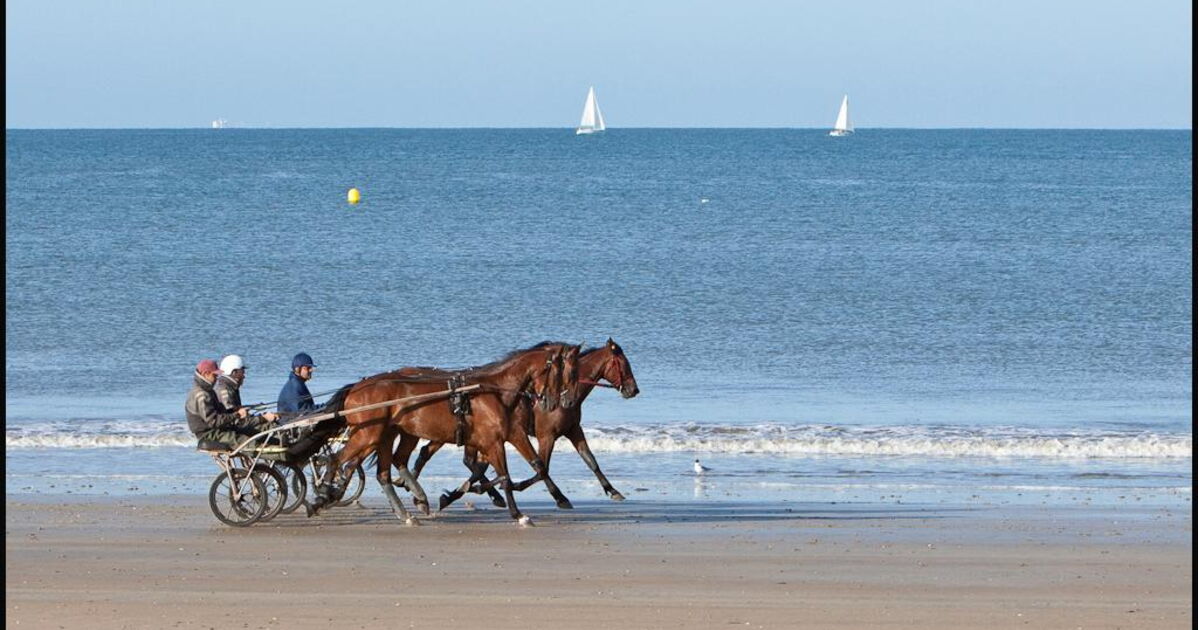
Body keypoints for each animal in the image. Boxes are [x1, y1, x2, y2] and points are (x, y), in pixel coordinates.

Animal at [307, 342, 580, 525]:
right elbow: (502, 475)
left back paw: (407, 508)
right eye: (562, 372)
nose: (555, 403)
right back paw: (323, 495)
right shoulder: (492, 441)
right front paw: (517, 512)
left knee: (386, 469)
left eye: (572, 372)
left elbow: (536, 466)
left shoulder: (510, 434)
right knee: (337, 460)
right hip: (369, 434)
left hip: (387, 434)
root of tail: (358, 386)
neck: (495, 391)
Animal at [412, 338, 639, 509]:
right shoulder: (545, 435)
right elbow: (542, 467)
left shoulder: (573, 430)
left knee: (440, 456)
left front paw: (612, 490)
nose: (634, 390)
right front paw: (558, 496)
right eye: (624, 364)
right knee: (462, 461)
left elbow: (591, 461)